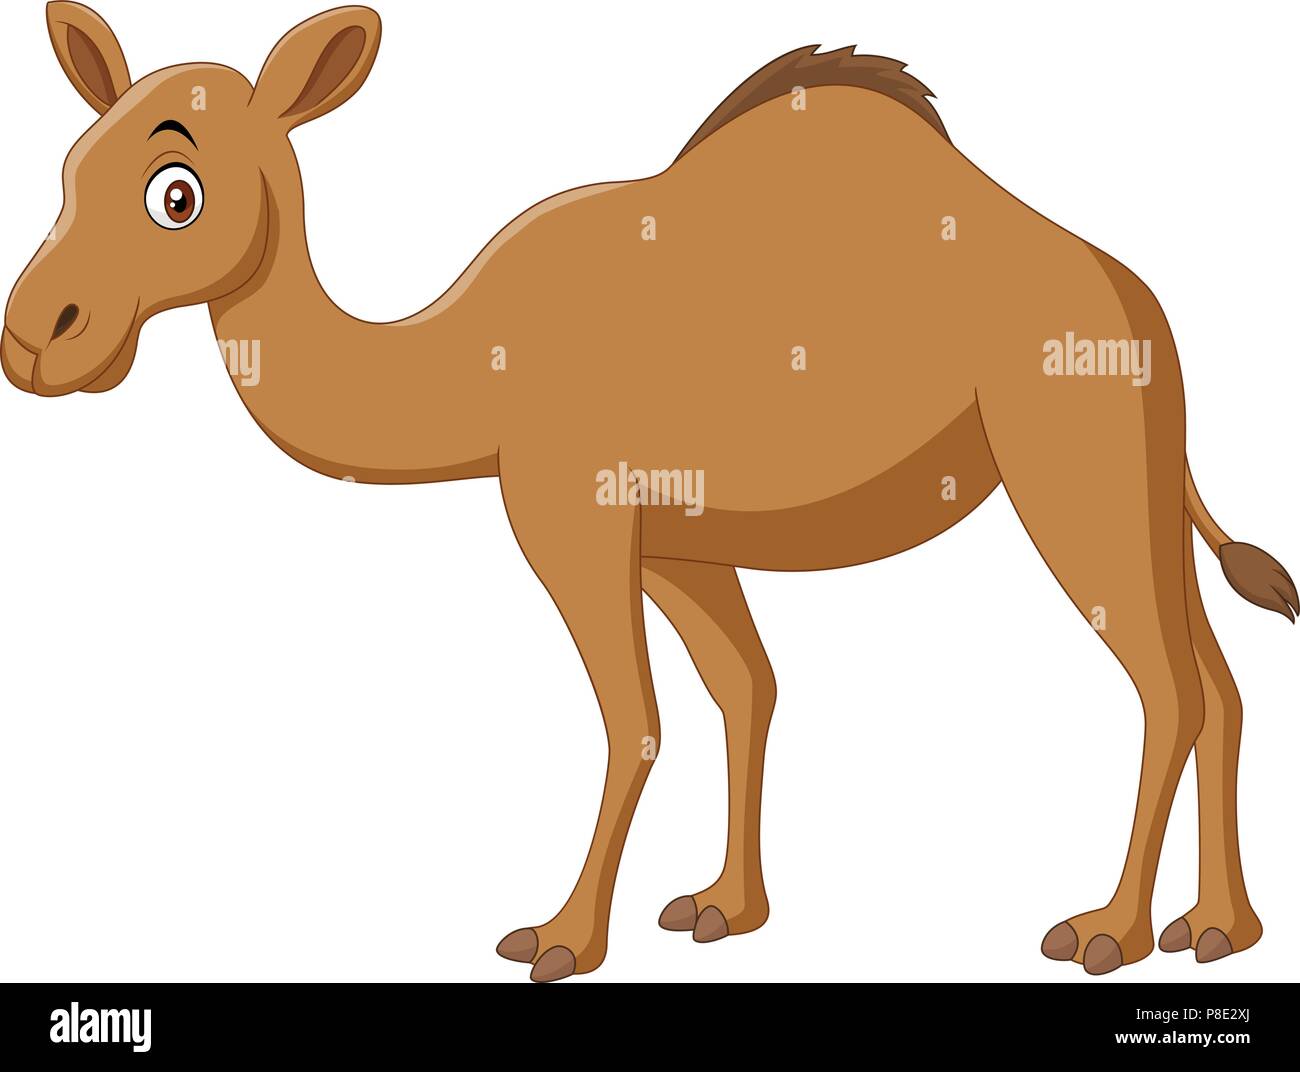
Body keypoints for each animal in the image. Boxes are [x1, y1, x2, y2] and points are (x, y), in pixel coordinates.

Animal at [4, 3, 1295, 983]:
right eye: (64, 170)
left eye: (177, 191)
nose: (35, 335)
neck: (476, 365)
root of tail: (1137, 300)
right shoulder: (678, 543)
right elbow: (746, 692)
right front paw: (725, 906)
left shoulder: (569, 515)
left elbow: (631, 718)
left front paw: (562, 938)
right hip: (1130, 461)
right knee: (1219, 677)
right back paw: (1217, 928)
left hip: (1066, 455)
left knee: (1166, 686)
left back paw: (1109, 929)